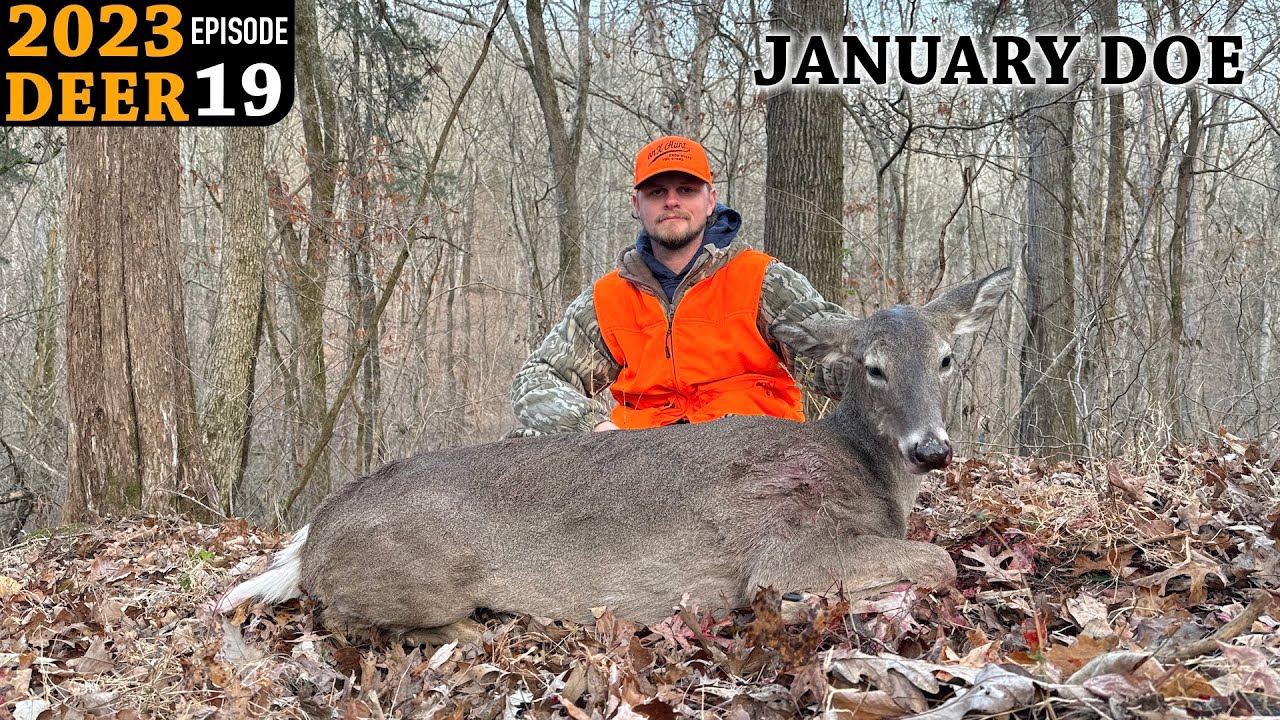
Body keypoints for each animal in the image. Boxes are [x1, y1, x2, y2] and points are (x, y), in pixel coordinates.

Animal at [218, 267, 1012, 645]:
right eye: (872, 367)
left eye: (946, 359)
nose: (932, 449)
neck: (869, 475)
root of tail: (314, 535)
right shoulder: (785, 548)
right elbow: (938, 562)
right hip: (422, 573)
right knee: (339, 616)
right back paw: (466, 630)